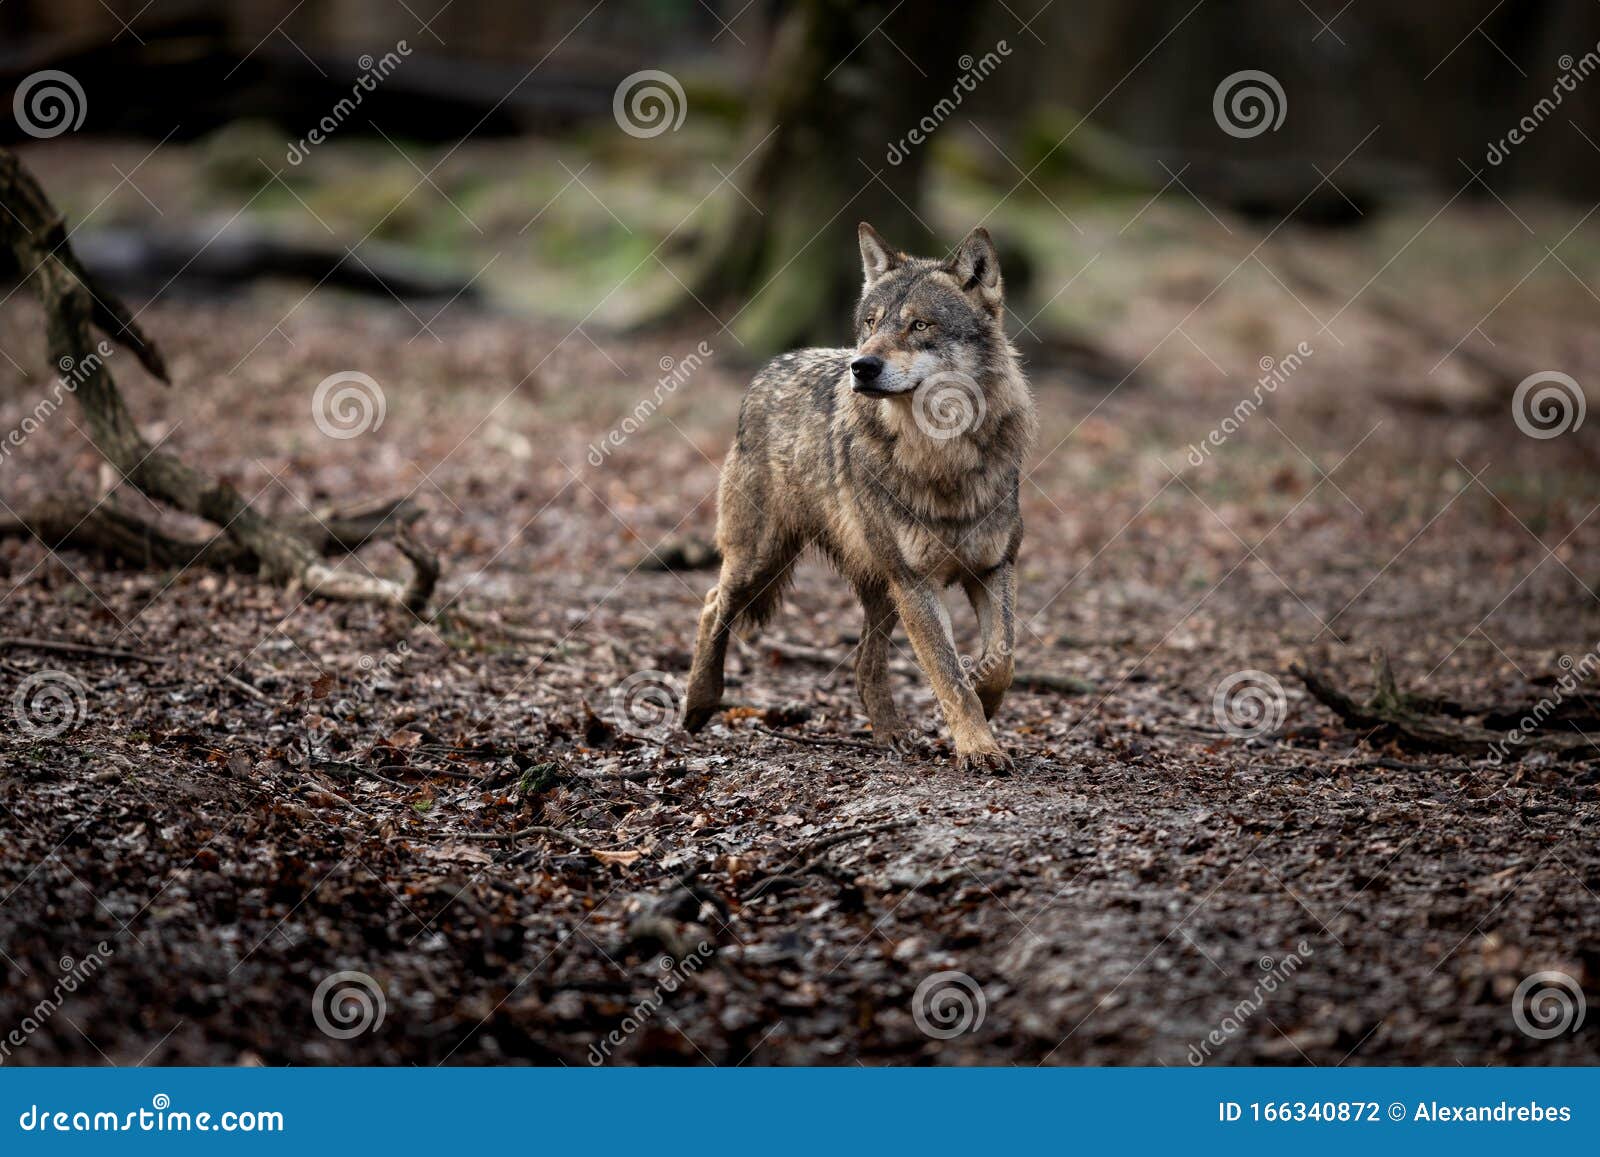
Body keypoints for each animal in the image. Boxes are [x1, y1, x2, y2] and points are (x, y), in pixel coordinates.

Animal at [681, 222, 1037, 771]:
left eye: (919, 326)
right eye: (870, 323)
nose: (860, 366)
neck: (941, 458)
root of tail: (771, 365)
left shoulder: (994, 568)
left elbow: (1002, 659)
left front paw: (985, 700)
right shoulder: (915, 582)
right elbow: (949, 676)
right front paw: (979, 745)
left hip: (880, 587)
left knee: (866, 664)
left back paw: (890, 732)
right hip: (762, 560)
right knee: (711, 602)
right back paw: (699, 702)